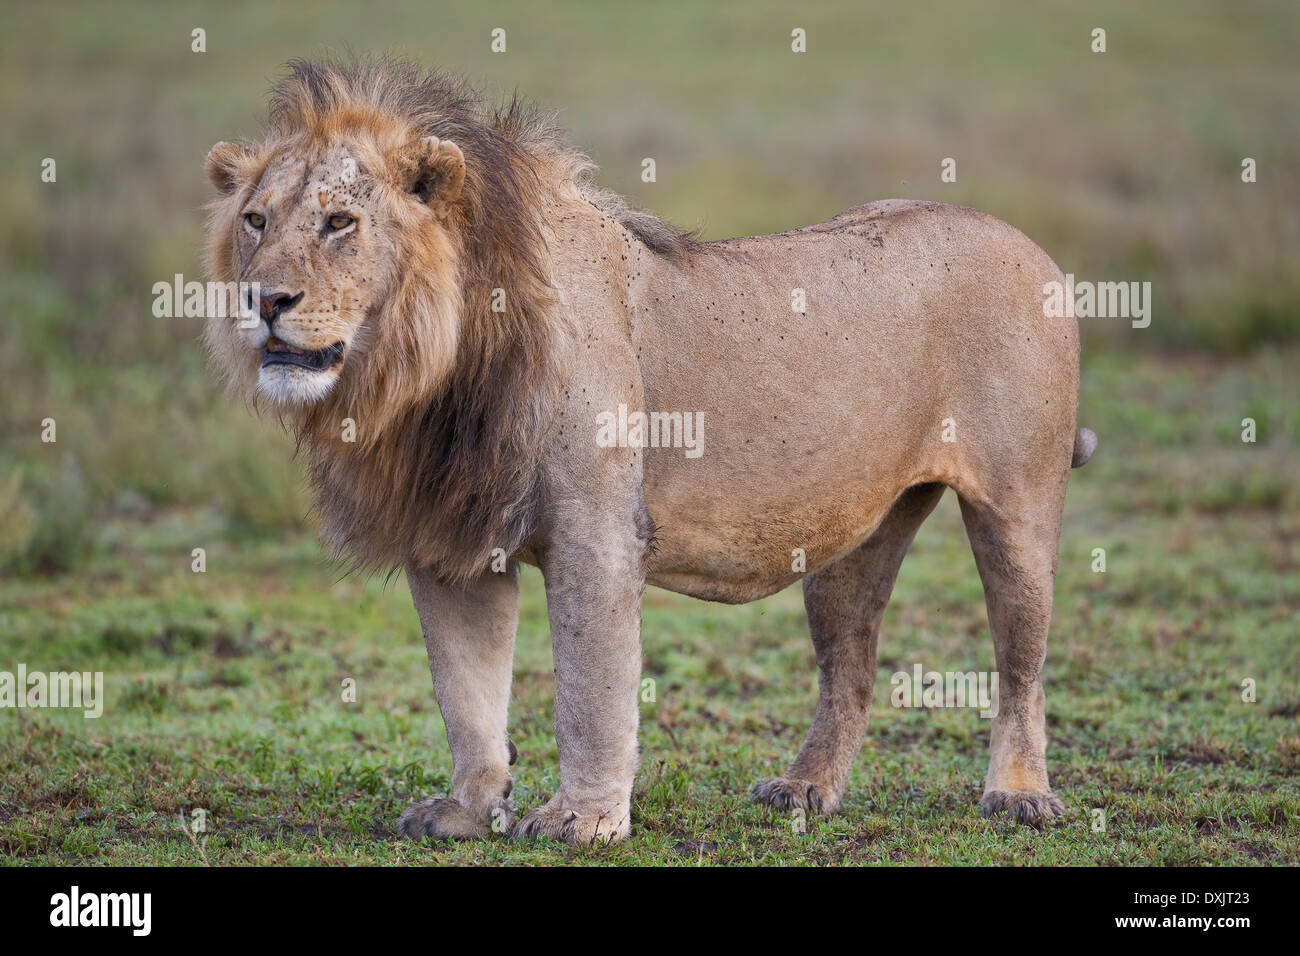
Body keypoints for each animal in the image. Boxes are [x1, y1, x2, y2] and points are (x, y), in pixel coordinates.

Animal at [203, 56, 1096, 845]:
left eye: (339, 223)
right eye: (256, 221)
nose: (262, 299)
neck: (426, 375)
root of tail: (1029, 243)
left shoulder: (596, 534)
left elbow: (590, 692)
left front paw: (584, 820)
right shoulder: (448, 541)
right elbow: (466, 693)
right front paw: (466, 810)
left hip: (1017, 507)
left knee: (1022, 662)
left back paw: (1020, 796)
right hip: (855, 534)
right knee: (852, 664)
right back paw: (805, 788)